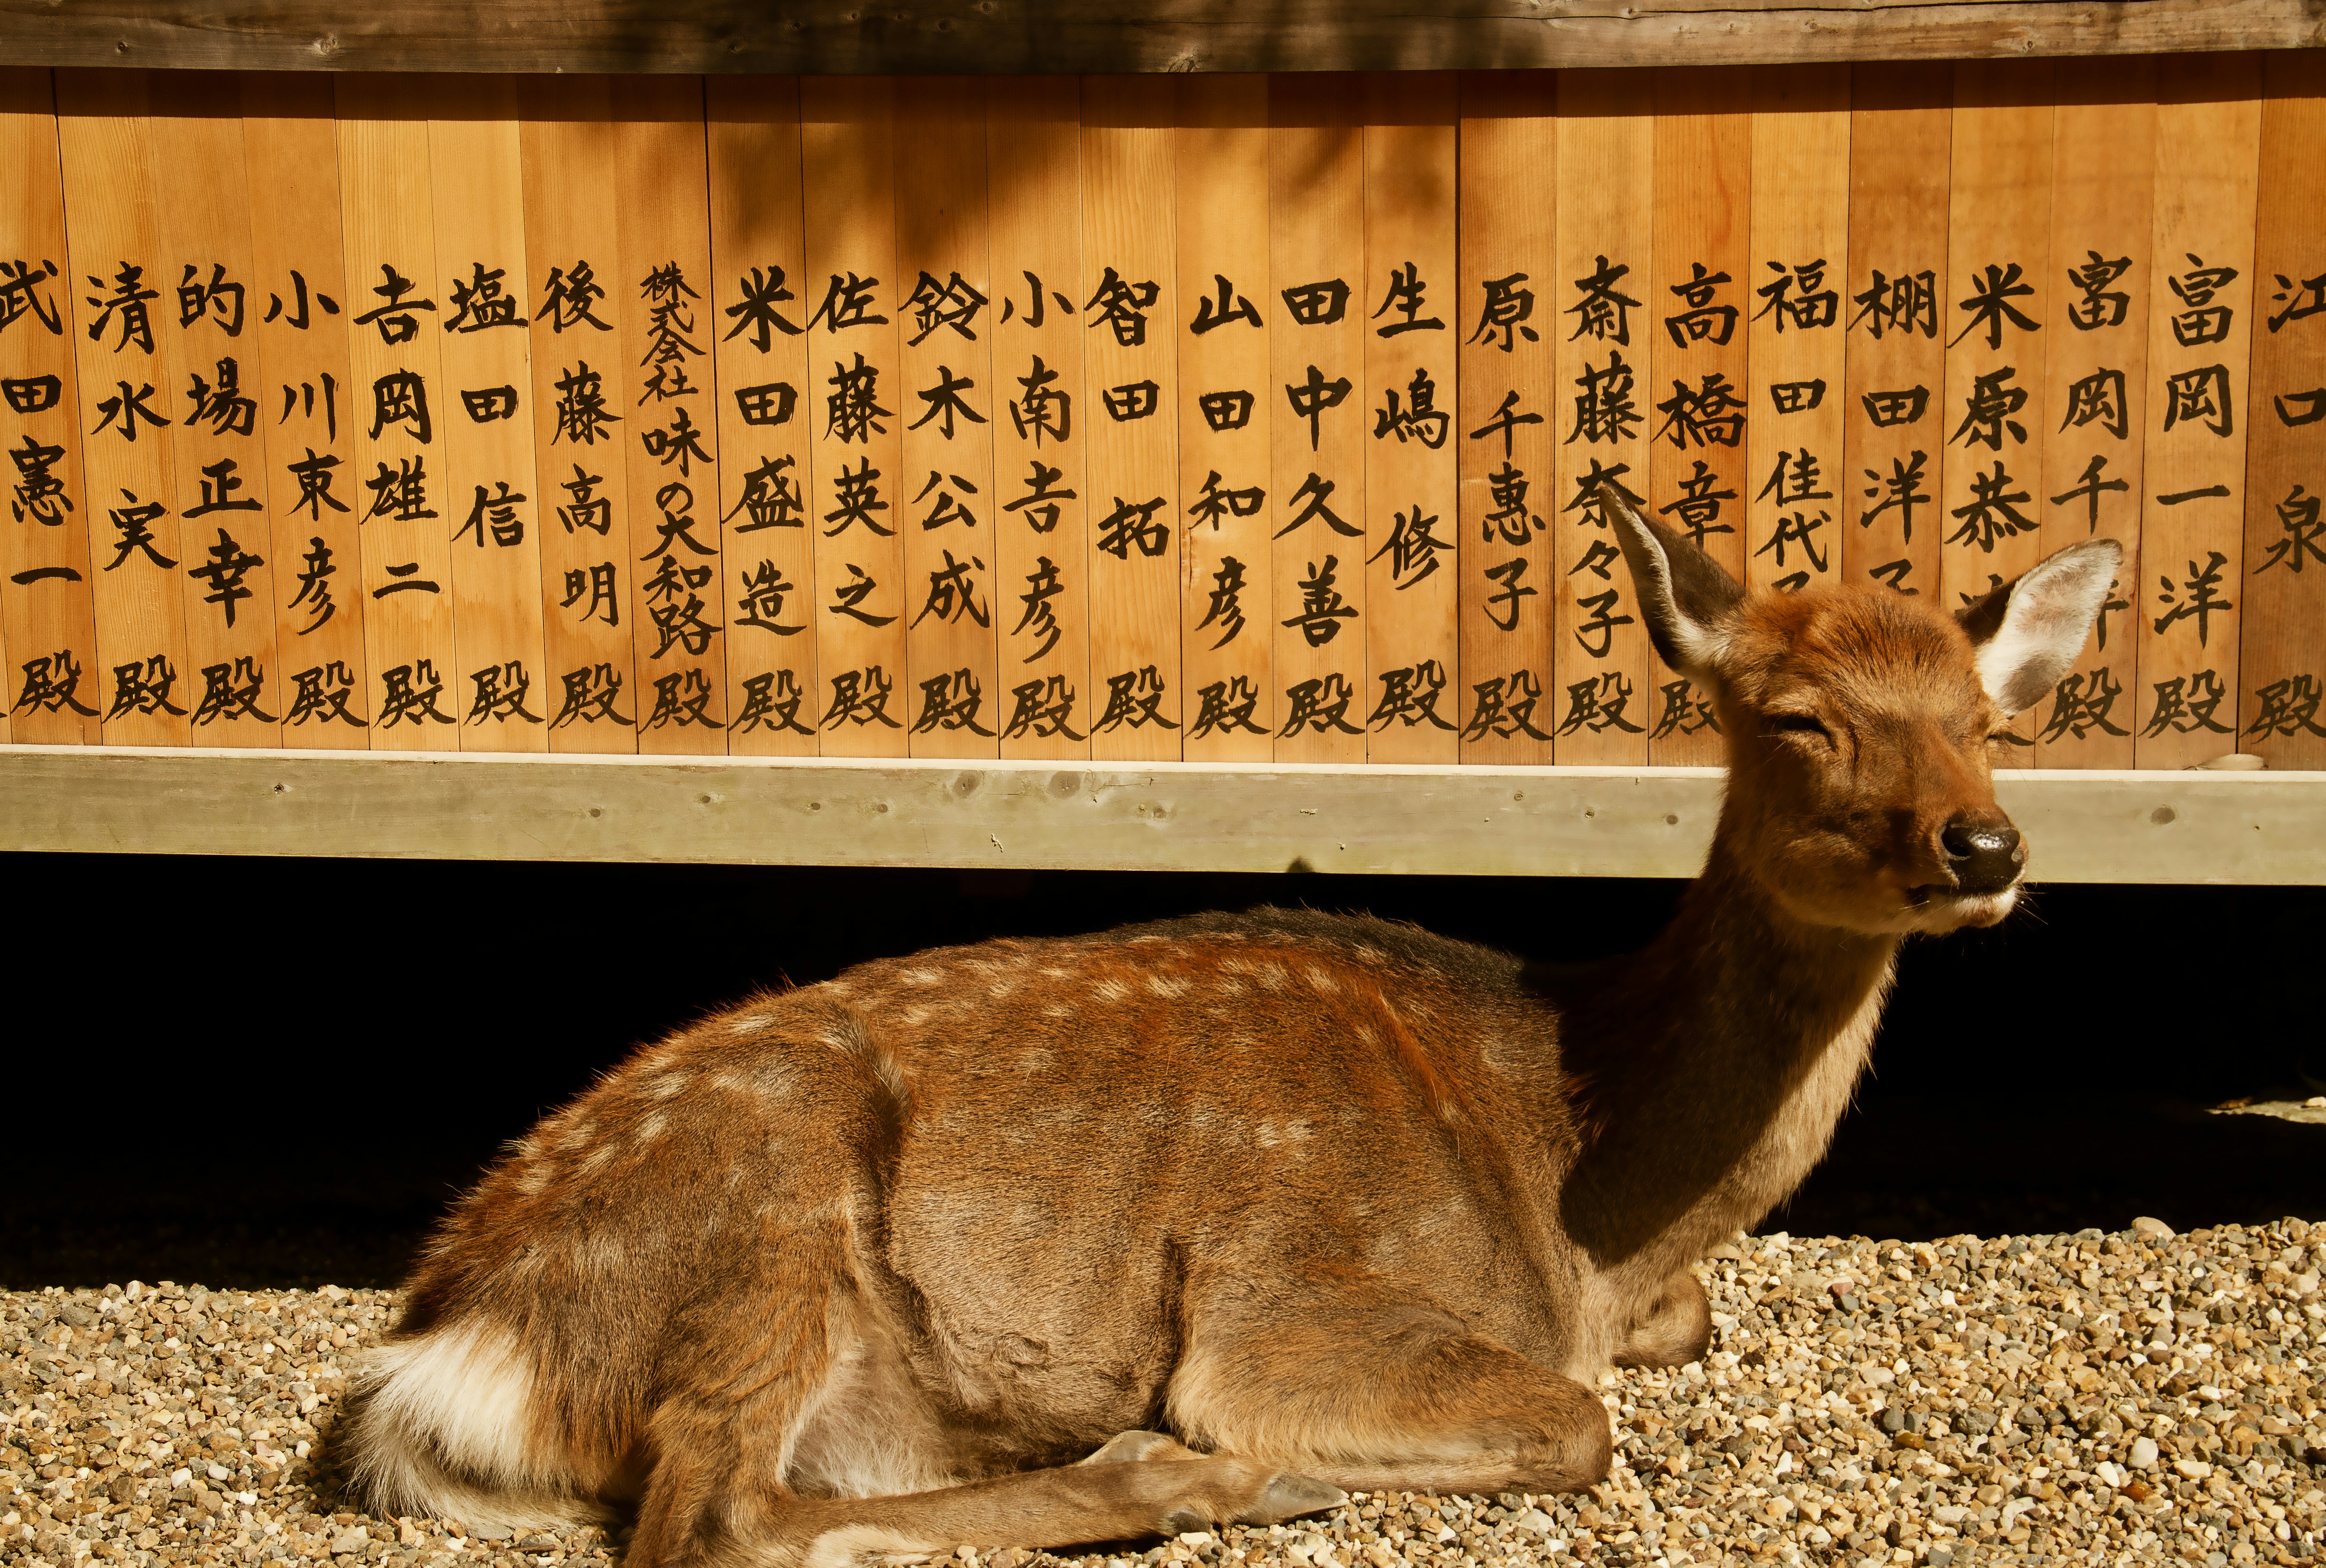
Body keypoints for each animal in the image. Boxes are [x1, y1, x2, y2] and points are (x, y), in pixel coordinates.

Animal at [343, 489, 2120, 1568]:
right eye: (1797, 717)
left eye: (1986, 718)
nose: (1980, 845)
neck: (1581, 1189)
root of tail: (451, 1340)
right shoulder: (1292, 1301)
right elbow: (1574, 1418)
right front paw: (1257, 1448)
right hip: (758, 1206)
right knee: (716, 1512)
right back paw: (1198, 1474)